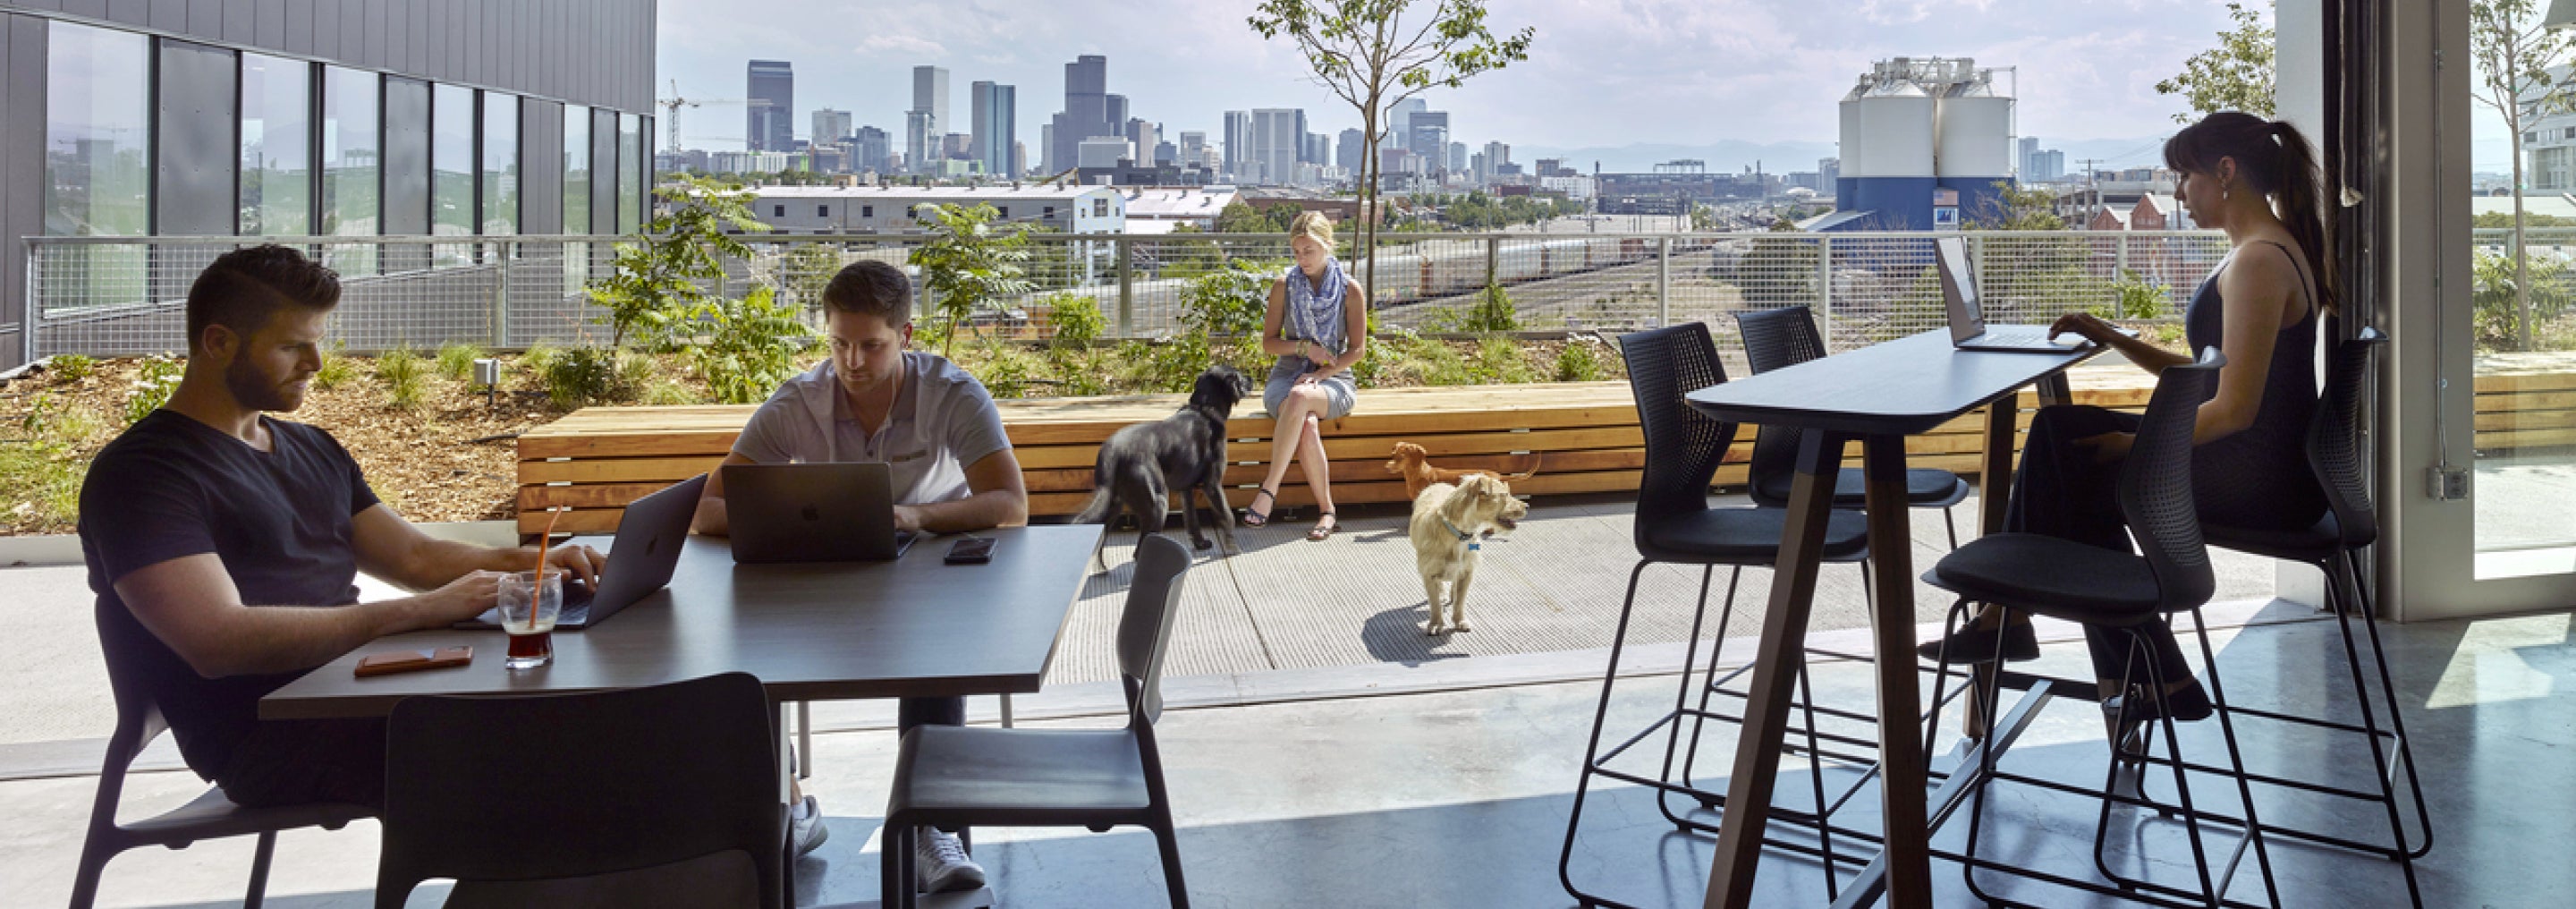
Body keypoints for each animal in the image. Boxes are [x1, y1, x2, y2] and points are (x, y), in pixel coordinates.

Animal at [1076, 362, 1257, 566]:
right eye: (1238, 375)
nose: (1252, 378)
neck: (1203, 410)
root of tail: (1113, 449)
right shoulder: (1213, 484)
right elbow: (1227, 516)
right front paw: (1233, 548)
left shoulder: (1185, 489)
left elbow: (1192, 519)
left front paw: (1200, 543)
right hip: (1158, 502)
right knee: (1139, 551)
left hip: (1113, 503)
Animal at [1411, 471, 1524, 633]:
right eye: (1504, 495)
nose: (1527, 505)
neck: (1459, 533)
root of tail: (1439, 483)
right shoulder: (1429, 573)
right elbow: (1435, 603)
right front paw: (1435, 624)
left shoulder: (1466, 573)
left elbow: (1460, 601)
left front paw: (1460, 621)